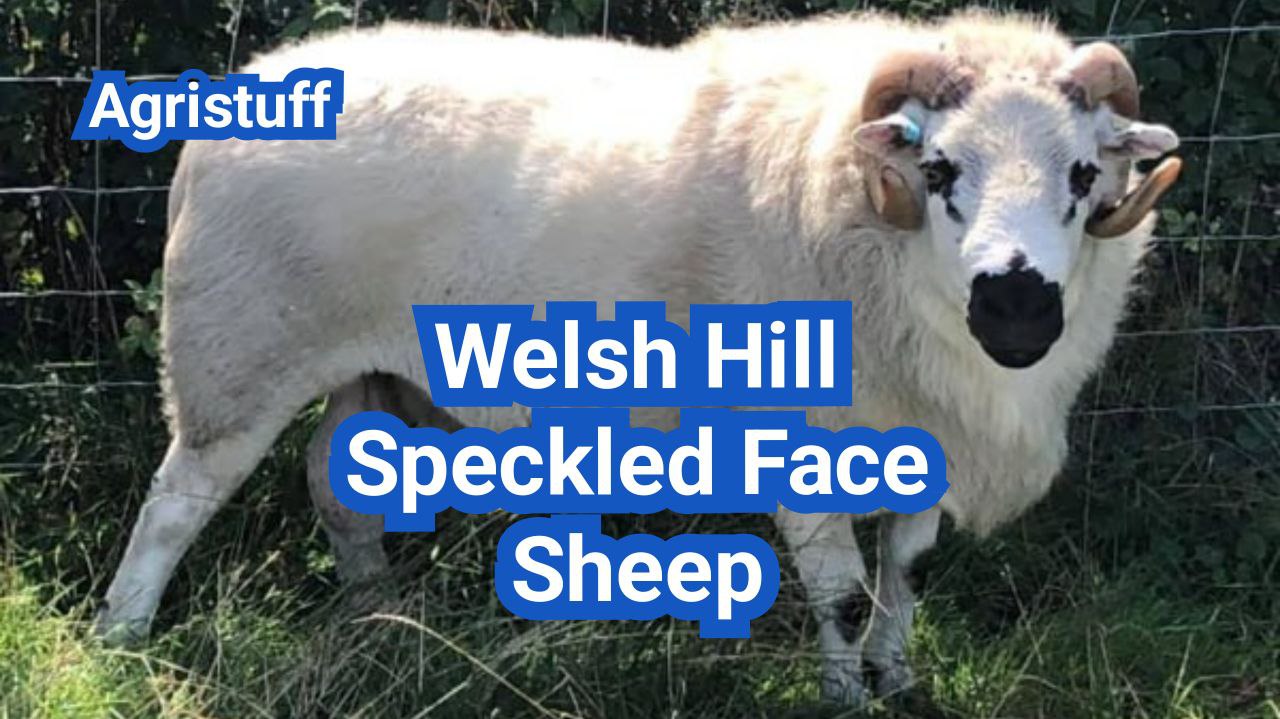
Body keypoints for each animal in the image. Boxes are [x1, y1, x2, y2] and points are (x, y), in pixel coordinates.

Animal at [95, 11, 1182, 706]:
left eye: (1082, 176)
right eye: (940, 168)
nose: (1014, 305)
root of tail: (233, 102)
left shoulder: (920, 431)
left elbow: (904, 574)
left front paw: (899, 680)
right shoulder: (802, 442)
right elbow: (839, 590)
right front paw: (844, 695)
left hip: (370, 371)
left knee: (339, 491)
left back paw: (379, 624)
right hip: (237, 348)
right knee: (173, 507)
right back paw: (121, 637)